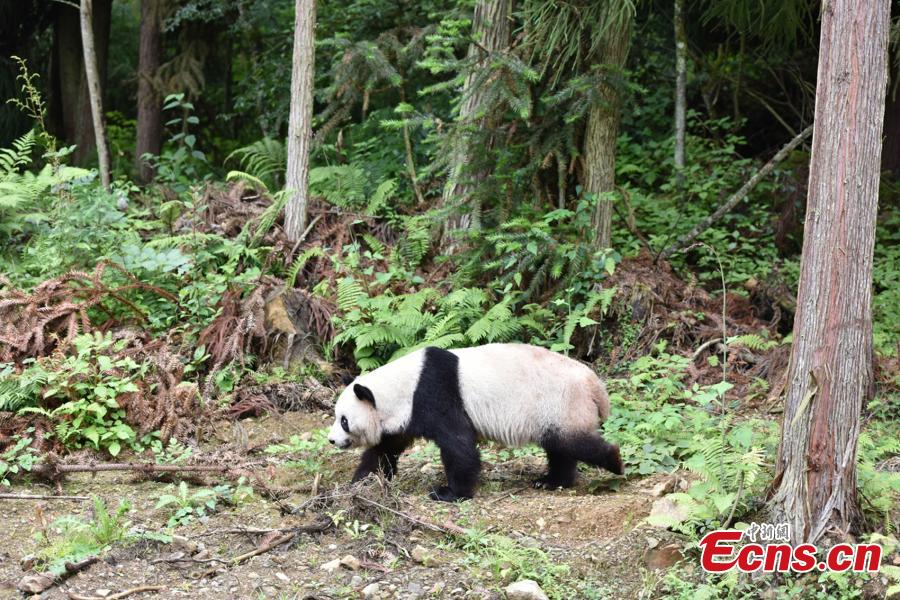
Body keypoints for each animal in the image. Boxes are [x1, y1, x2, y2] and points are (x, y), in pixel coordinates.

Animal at [327, 343, 623, 501]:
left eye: (344, 421)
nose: (331, 440)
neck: (401, 386)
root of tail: (595, 384)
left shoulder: (434, 394)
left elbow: (458, 445)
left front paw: (448, 492)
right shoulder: (404, 416)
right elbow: (384, 450)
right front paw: (361, 482)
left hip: (561, 402)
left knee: (574, 442)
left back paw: (615, 462)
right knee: (559, 447)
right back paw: (552, 481)